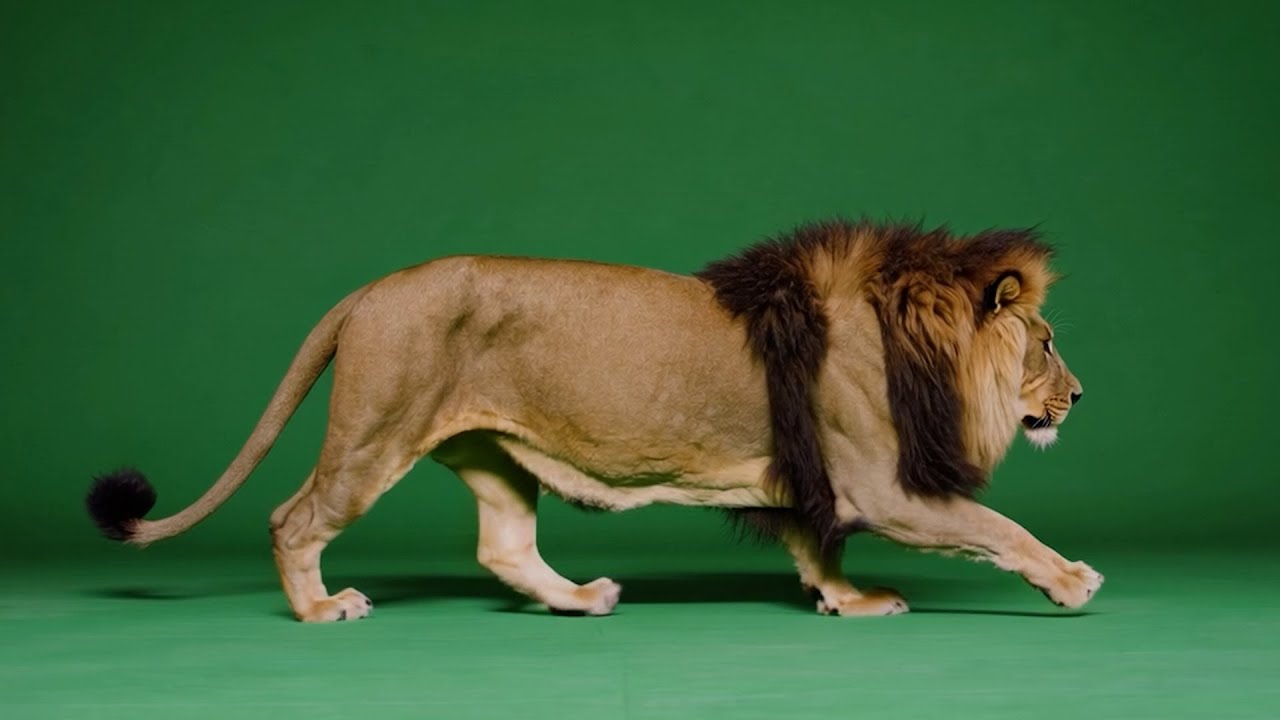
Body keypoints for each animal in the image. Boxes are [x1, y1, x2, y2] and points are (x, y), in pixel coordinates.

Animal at [86, 219, 1099, 622]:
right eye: (1047, 343)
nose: (1081, 396)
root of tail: (370, 290)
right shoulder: (879, 485)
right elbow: (997, 526)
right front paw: (1071, 579)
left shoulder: (810, 479)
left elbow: (818, 549)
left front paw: (848, 602)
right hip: (375, 431)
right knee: (292, 519)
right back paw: (321, 609)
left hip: (493, 452)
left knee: (502, 548)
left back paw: (580, 598)